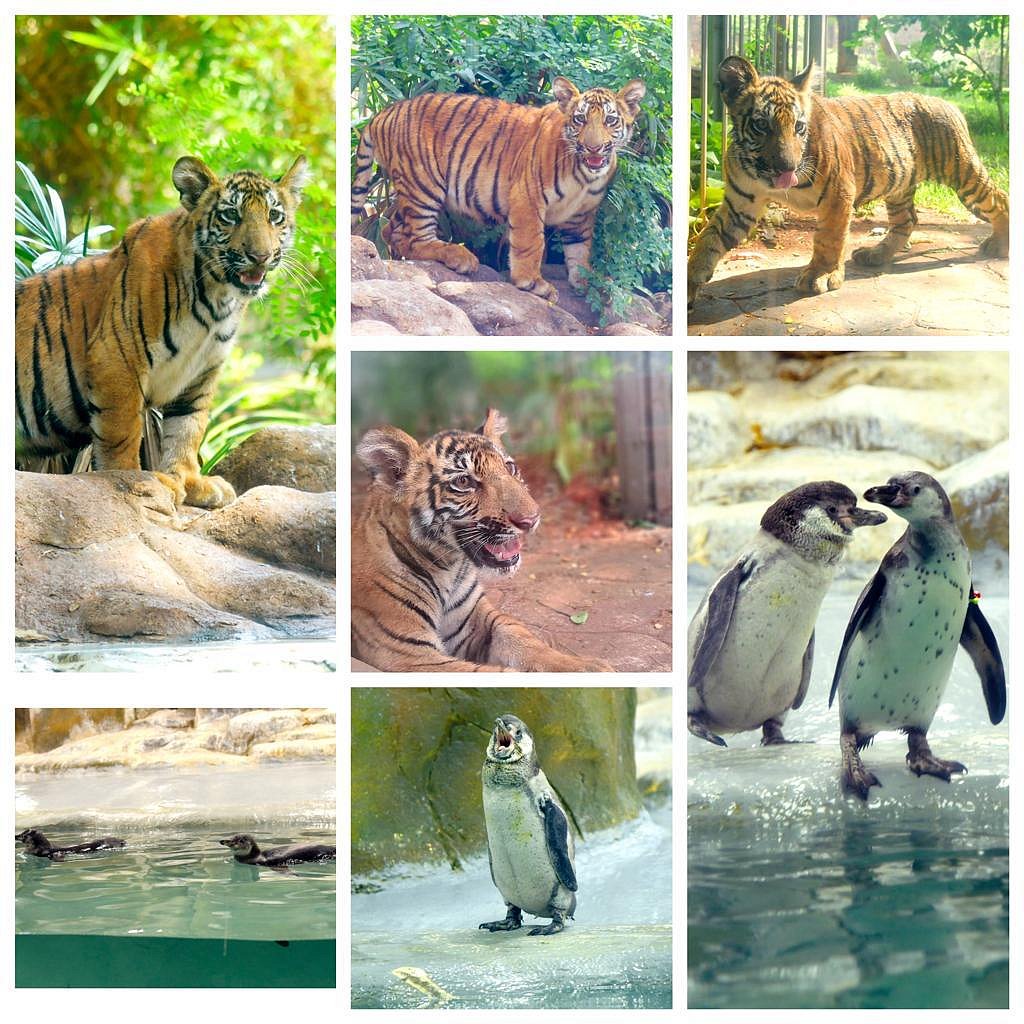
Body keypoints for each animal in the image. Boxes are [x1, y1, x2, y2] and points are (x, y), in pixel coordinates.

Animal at [15, 154, 310, 508]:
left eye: (274, 216)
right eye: (230, 215)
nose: (260, 256)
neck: (218, 300)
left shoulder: (201, 372)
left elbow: (187, 428)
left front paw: (192, 482)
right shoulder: (116, 360)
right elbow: (122, 432)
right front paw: (131, 481)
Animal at [351, 76, 646, 301]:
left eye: (610, 120)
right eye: (580, 119)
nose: (594, 148)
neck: (586, 176)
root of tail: (383, 112)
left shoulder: (581, 216)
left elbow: (580, 251)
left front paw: (588, 283)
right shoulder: (528, 197)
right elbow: (531, 243)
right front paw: (532, 283)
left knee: (391, 231)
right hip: (423, 185)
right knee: (415, 237)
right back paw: (459, 257)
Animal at [352, 408, 614, 672]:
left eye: (510, 468)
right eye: (464, 482)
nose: (531, 520)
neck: (448, 568)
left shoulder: (478, 622)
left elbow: (523, 639)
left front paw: (587, 667)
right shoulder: (409, 653)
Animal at [688, 56, 1009, 308]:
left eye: (799, 127)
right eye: (761, 125)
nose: (787, 167)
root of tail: (948, 103)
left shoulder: (837, 192)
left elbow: (829, 237)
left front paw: (820, 275)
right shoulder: (740, 204)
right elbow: (709, 240)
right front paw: (690, 284)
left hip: (963, 175)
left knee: (1000, 198)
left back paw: (1000, 245)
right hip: (899, 186)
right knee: (906, 220)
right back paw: (876, 255)